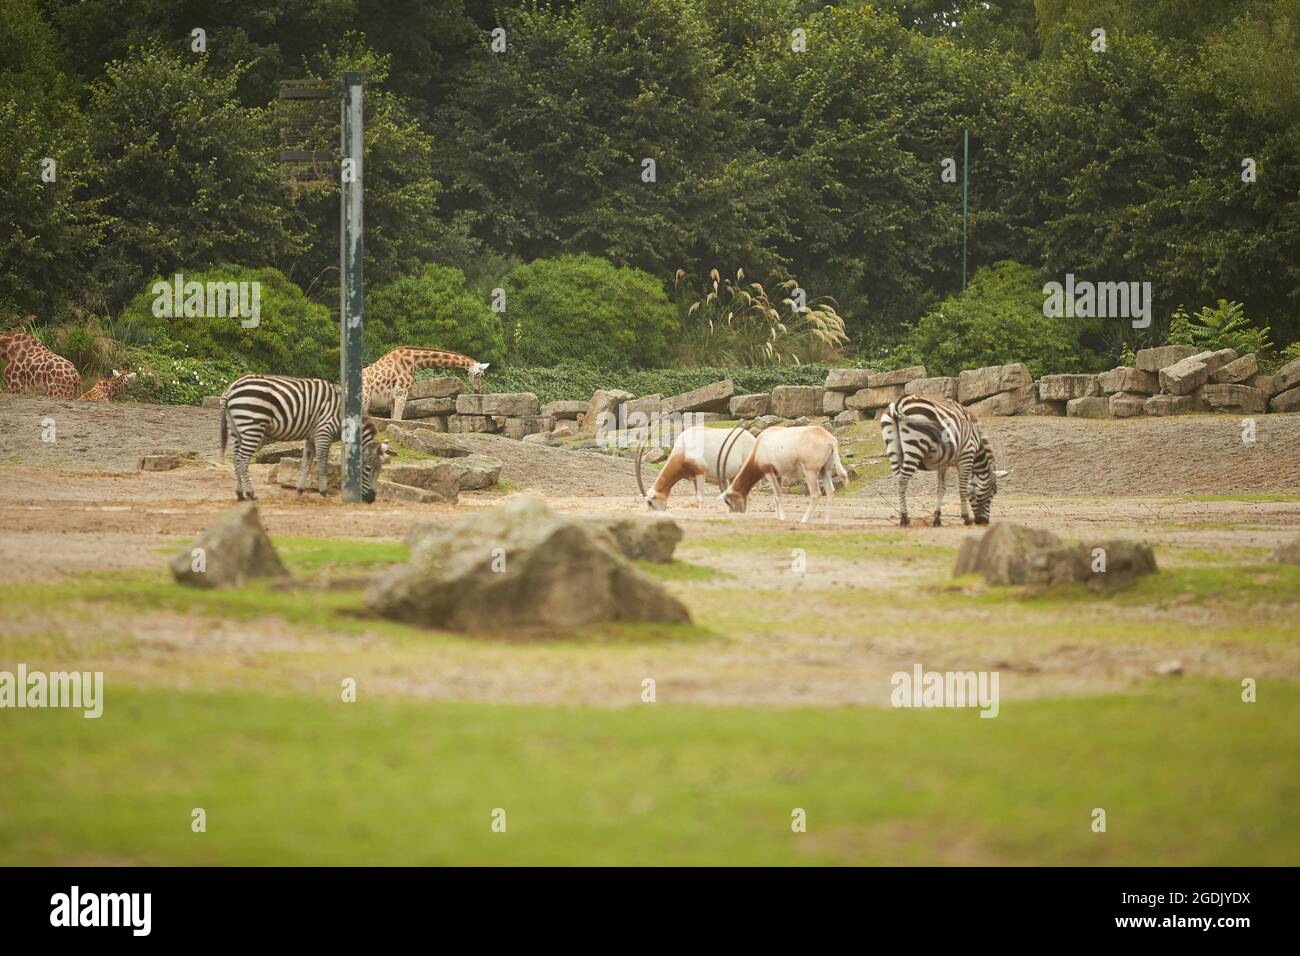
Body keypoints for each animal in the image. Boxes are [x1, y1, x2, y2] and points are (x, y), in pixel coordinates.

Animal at [220, 374, 388, 502]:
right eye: (368, 469)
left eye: (380, 471)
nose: (372, 499)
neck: (340, 414)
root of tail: (231, 387)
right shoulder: (323, 433)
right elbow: (322, 464)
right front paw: (323, 492)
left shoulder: (311, 437)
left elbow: (306, 463)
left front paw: (299, 490)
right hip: (252, 425)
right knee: (242, 459)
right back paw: (251, 493)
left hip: (237, 429)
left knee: (235, 458)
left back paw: (240, 494)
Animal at [879, 395, 1009, 527]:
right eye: (992, 492)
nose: (984, 521)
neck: (977, 444)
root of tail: (898, 403)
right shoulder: (966, 455)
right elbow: (963, 489)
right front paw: (966, 518)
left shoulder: (943, 463)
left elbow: (941, 489)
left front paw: (937, 519)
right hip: (915, 446)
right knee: (903, 480)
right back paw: (905, 518)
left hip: (893, 448)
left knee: (898, 479)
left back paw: (902, 515)